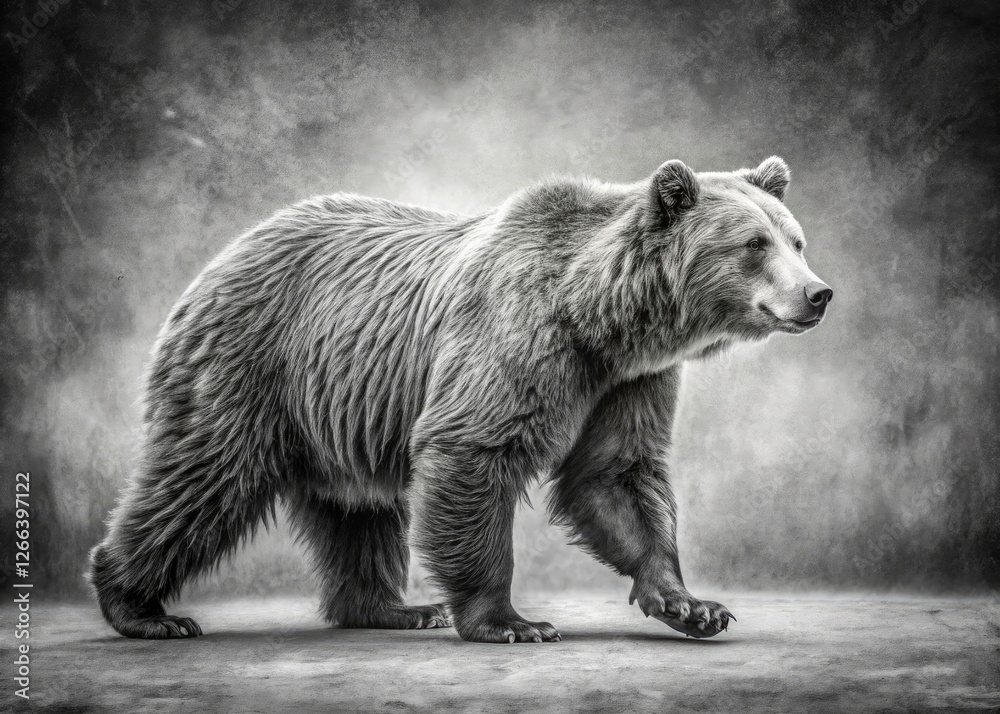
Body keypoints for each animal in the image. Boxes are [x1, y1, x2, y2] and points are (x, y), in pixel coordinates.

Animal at [88, 156, 832, 643]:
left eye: (796, 238)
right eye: (753, 244)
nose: (818, 293)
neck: (599, 318)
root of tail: (222, 255)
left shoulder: (626, 383)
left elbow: (615, 476)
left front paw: (693, 605)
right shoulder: (517, 341)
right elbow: (475, 451)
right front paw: (511, 621)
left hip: (339, 407)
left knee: (358, 510)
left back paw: (396, 609)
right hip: (251, 366)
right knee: (203, 477)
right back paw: (142, 608)